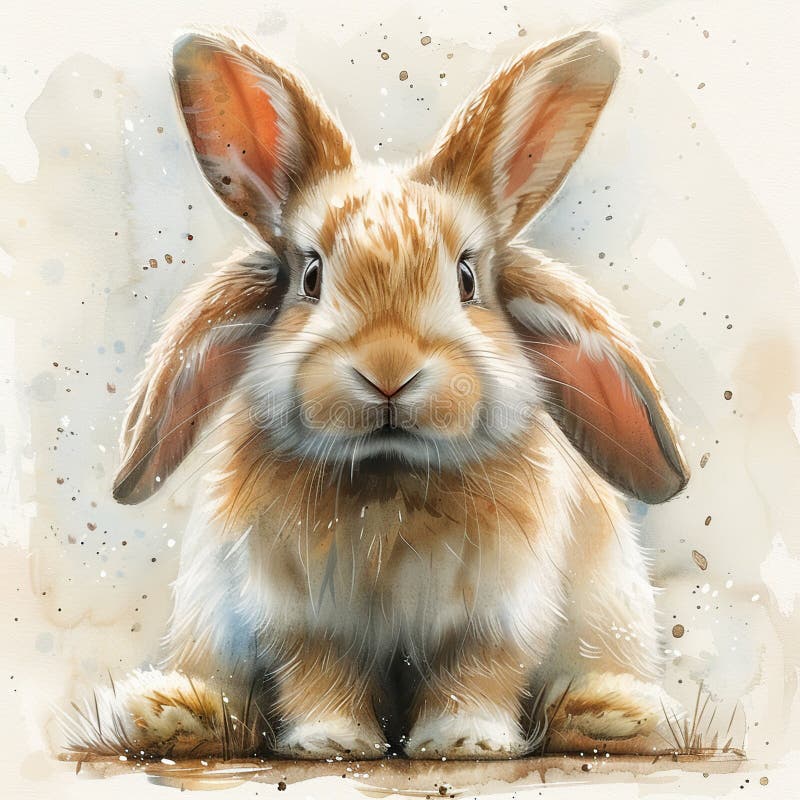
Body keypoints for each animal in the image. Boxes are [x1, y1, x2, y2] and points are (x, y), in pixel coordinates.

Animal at [66, 29, 689, 762]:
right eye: (310, 276)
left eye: (467, 278)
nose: (388, 369)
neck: (388, 474)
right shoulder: (303, 618)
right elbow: (319, 675)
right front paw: (330, 743)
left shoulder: (494, 615)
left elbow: (476, 672)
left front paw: (463, 742)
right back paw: (170, 713)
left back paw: (611, 712)